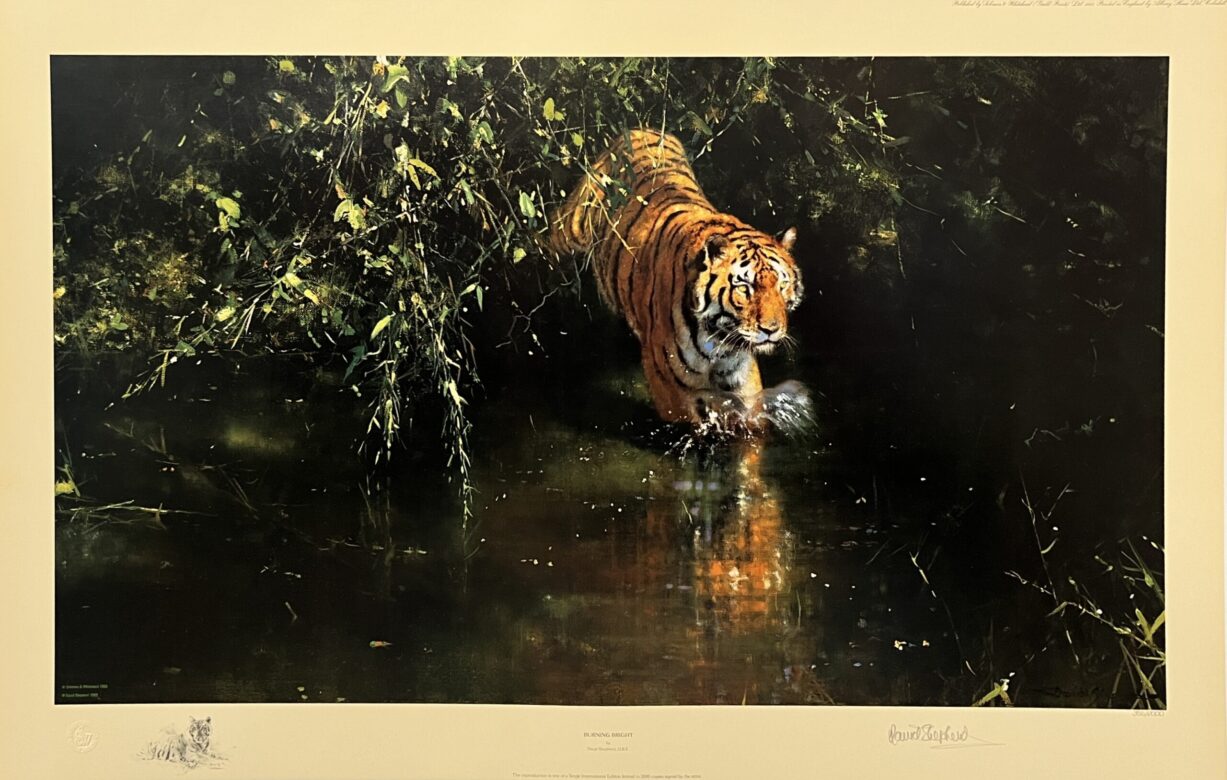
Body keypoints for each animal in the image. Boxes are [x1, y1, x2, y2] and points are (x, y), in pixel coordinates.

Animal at [549, 128, 804, 426]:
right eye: (744, 286)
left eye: (782, 285)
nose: (771, 330)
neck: (719, 336)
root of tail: (639, 129)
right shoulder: (669, 385)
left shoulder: (741, 373)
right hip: (566, 230)